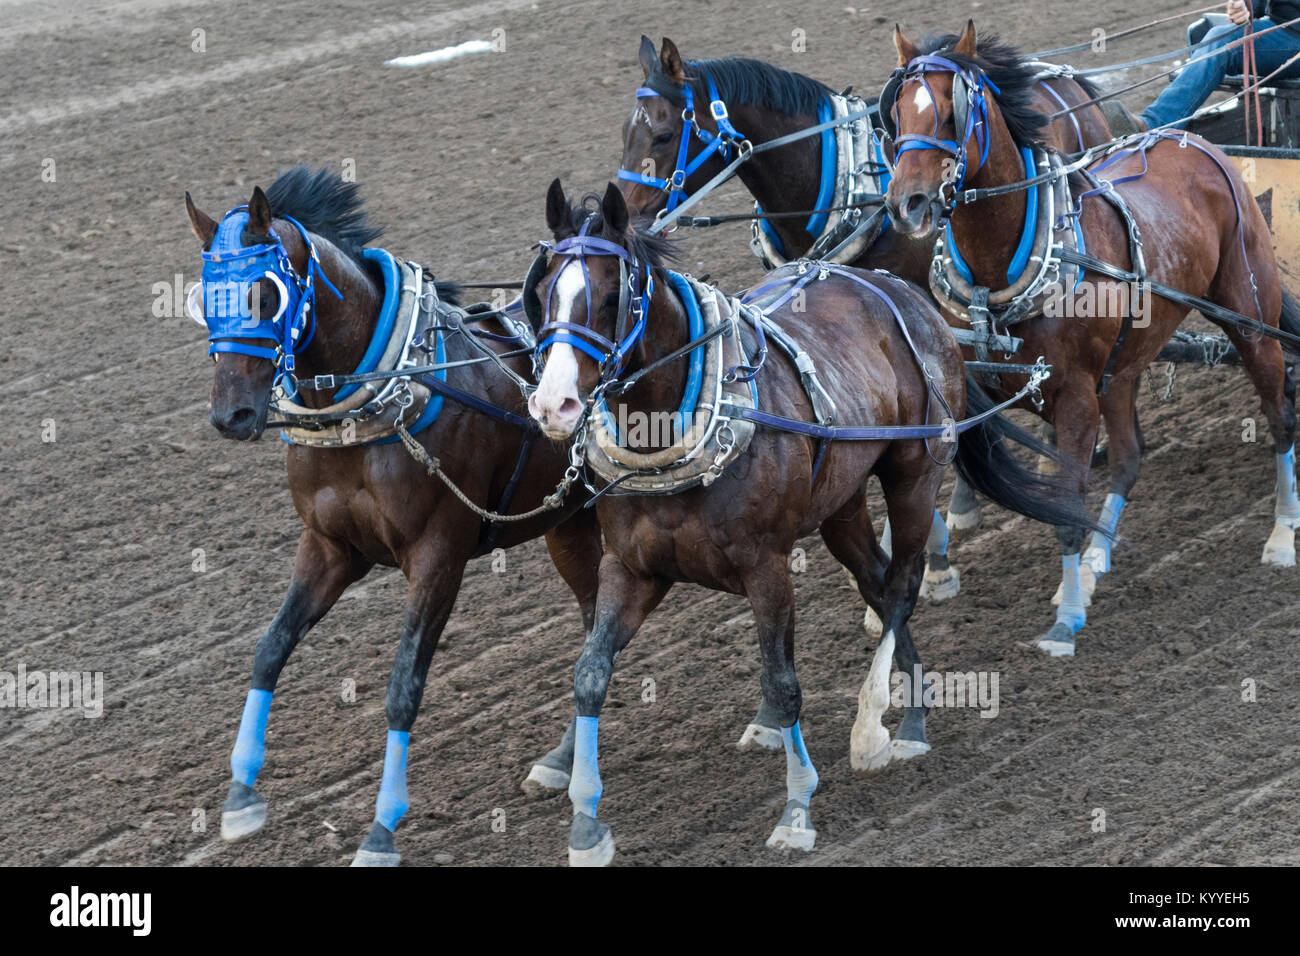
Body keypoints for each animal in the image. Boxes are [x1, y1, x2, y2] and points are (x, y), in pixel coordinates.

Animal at [184, 167, 604, 866]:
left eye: (267, 294)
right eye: (204, 298)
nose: (232, 415)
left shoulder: (439, 555)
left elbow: (403, 688)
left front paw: (380, 832)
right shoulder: (328, 547)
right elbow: (270, 648)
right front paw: (241, 796)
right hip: (570, 524)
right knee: (595, 627)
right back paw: (562, 759)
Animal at [524, 179, 1090, 864]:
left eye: (611, 296)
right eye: (544, 294)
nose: (554, 404)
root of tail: (910, 300)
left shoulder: (766, 567)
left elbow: (784, 682)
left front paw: (797, 810)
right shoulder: (631, 568)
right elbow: (589, 675)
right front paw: (585, 825)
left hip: (915, 476)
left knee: (903, 585)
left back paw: (879, 728)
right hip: (841, 508)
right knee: (877, 581)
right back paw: (916, 711)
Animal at [882, 21, 1300, 658]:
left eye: (955, 113)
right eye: (898, 112)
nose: (907, 204)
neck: (1002, 270)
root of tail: (1196, 144)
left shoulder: (1076, 397)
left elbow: (1065, 509)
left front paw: (1065, 622)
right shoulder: (976, 389)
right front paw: (929, 574)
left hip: (1252, 322)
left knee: (1279, 418)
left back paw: (1281, 533)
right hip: (1124, 365)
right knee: (1130, 454)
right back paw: (1099, 558)